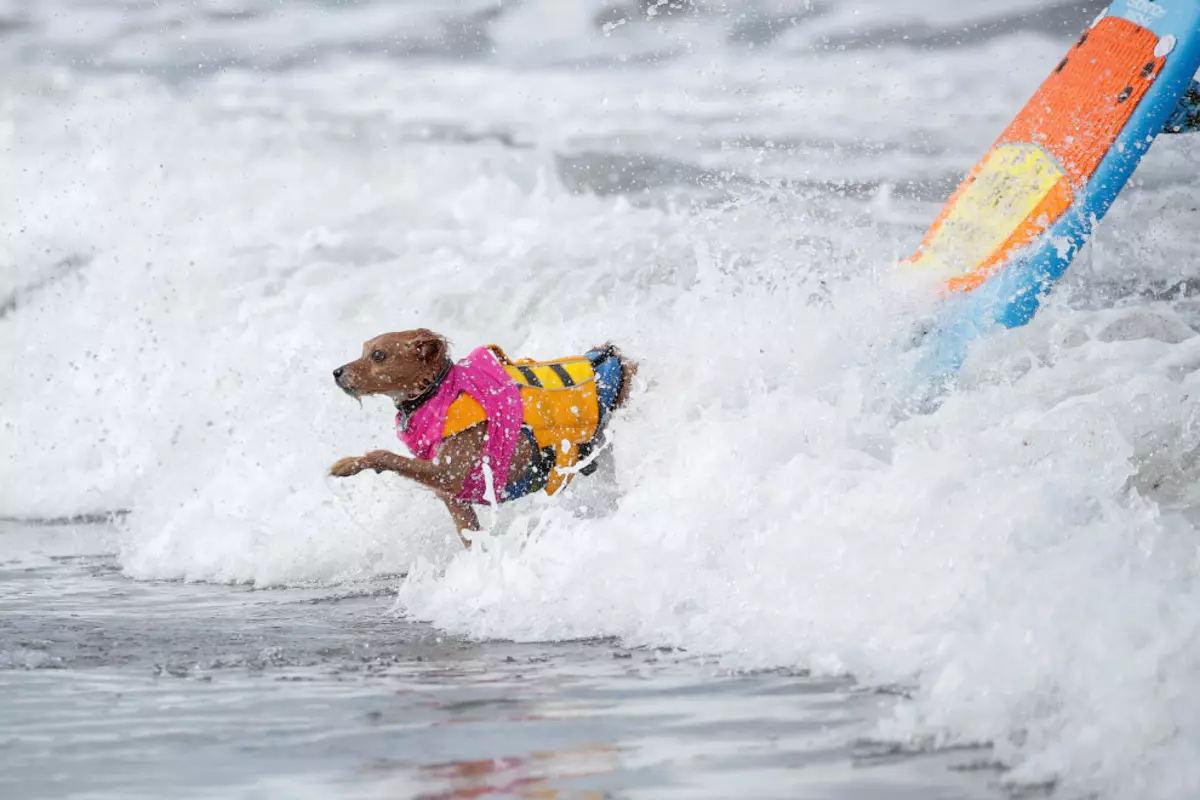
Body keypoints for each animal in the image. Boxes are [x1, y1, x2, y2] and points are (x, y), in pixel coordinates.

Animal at [324, 328, 633, 546]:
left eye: (378, 355)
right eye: (364, 350)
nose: (337, 372)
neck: (437, 394)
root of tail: (615, 358)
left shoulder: (447, 474)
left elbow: (385, 455)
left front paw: (351, 463)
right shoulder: (454, 500)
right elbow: (471, 537)